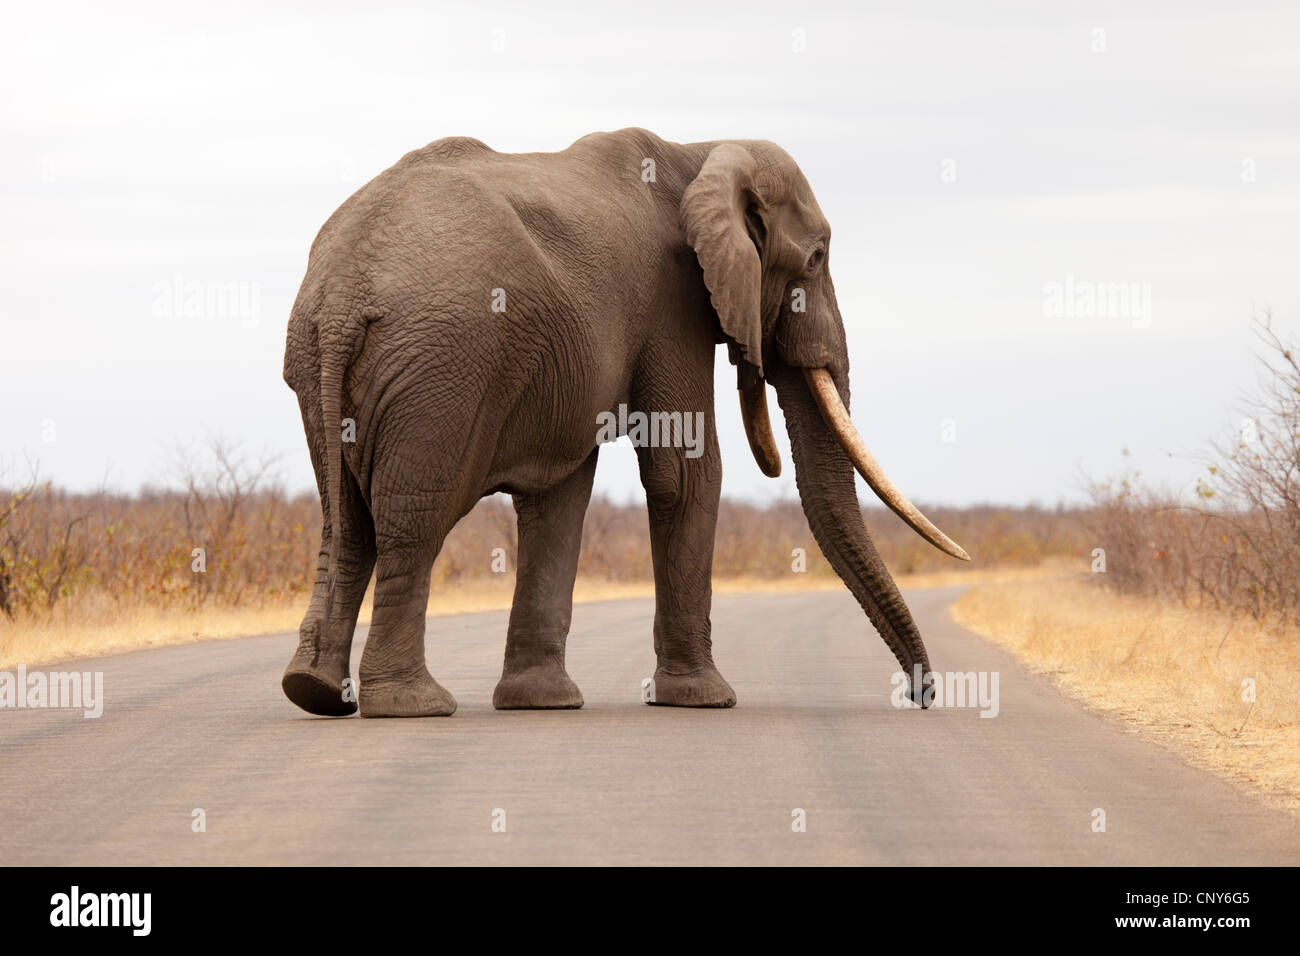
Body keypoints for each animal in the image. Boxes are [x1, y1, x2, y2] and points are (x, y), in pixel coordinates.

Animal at [280, 127, 969, 718]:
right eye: (817, 258)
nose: (923, 695)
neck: (702, 154)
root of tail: (340, 296)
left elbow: (560, 493)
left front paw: (543, 703)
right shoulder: (674, 298)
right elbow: (684, 472)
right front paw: (706, 700)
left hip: (322, 367)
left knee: (346, 523)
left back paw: (315, 693)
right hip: (441, 369)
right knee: (410, 525)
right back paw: (413, 704)